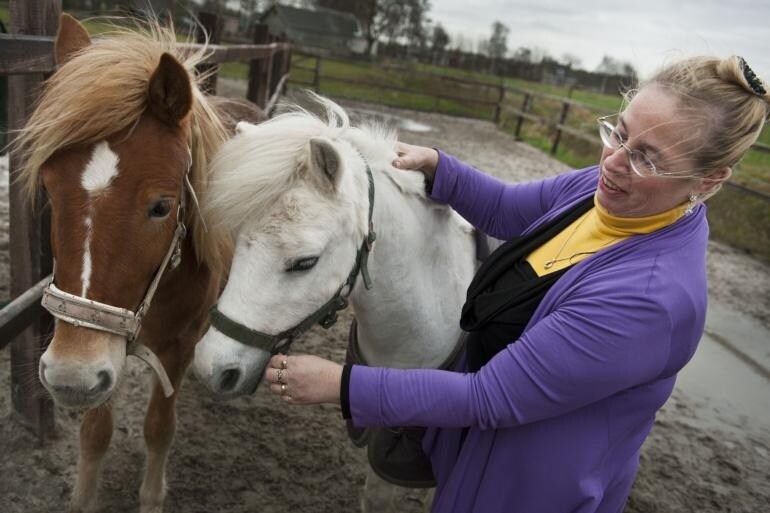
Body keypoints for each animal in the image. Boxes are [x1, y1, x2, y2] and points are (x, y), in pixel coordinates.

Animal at [14, 14, 264, 513]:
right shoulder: (107, 352)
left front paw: (150, 497)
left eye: (162, 207)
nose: (70, 376)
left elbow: (158, 429)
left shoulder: (177, 347)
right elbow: (95, 434)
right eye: (50, 189)